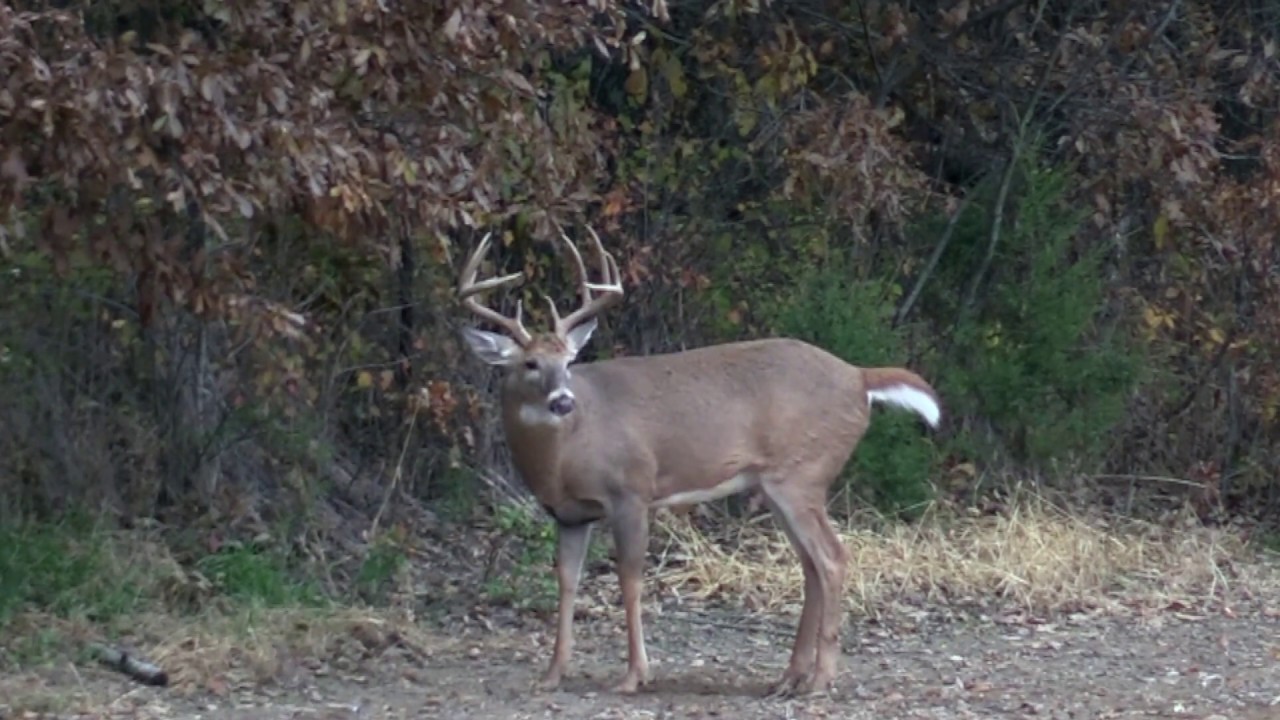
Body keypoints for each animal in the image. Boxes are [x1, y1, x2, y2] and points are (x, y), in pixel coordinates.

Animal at [457, 226, 941, 697]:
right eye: (530, 363)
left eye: (569, 360)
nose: (562, 401)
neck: (564, 454)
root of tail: (859, 378)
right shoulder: (570, 514)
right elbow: (567, 582)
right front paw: (552, 674)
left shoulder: (630, 490)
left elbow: (630, 580)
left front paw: (634, 675)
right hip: (778, 485)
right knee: (811, 565)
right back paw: (788, 679)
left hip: (802, 473)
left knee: (833, 558)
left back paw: (821, 681)